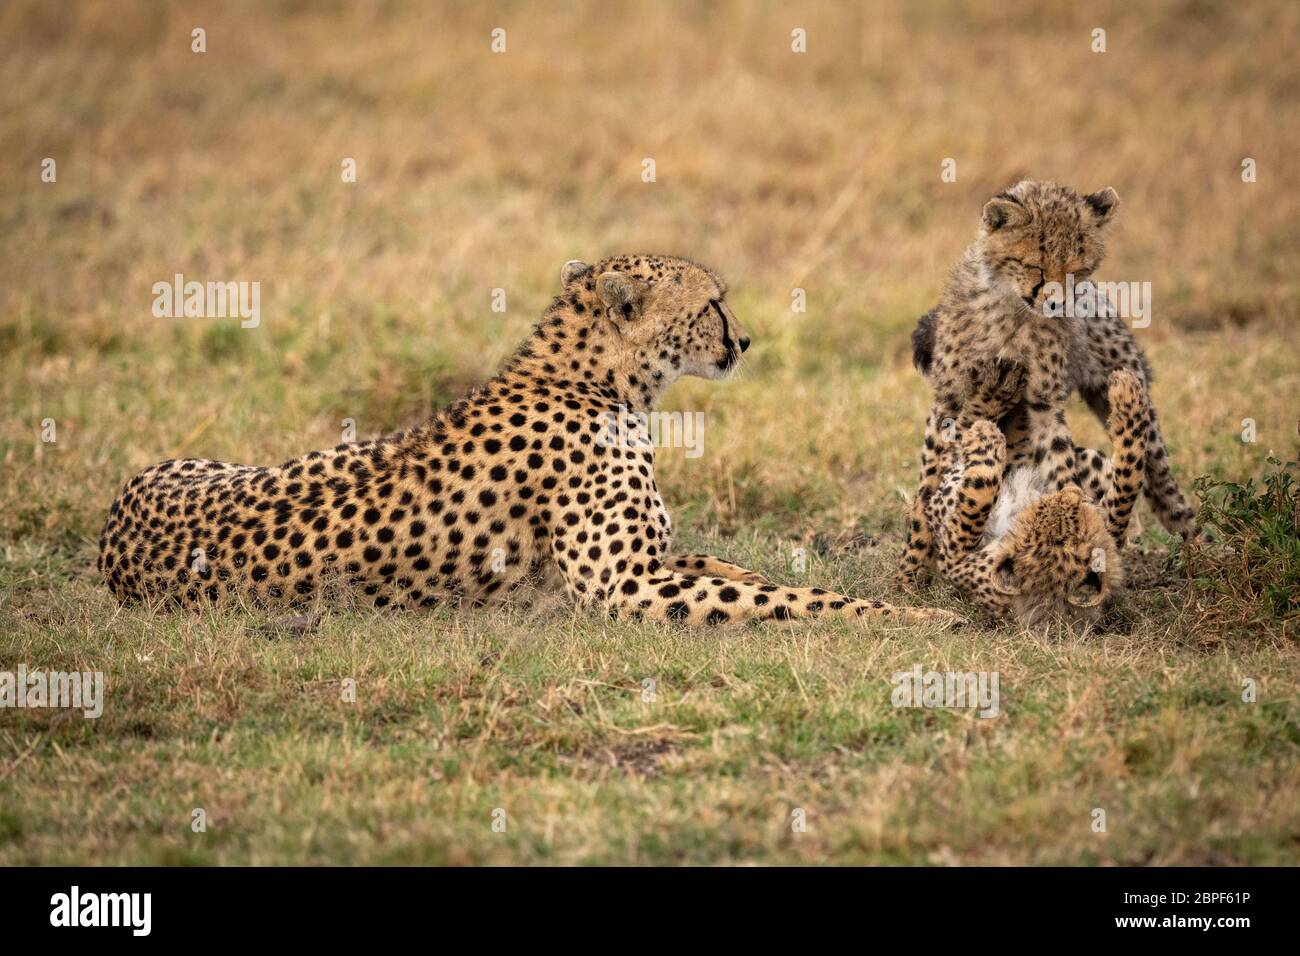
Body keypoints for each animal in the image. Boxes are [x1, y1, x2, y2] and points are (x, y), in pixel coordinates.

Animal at [99, 254, 962, 629]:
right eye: (712, 304)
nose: (745, 341)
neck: (597, 382)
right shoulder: (623, 585)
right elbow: (776, 599)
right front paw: (906, 619)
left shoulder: (655, 559)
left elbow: (732, 568)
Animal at [896, 178, 1199, 588]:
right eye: (1035, 265)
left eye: (1077, 271)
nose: (1058, 303)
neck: (1012, 309)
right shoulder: (948, 396)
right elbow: (930, 477)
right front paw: (912, 566)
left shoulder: (1044, 403)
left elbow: (1059, 460)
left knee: (1160, 480)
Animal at [903, 369, 1151, 628]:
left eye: (1060, 528)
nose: (1072, 494)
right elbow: (1128, 480)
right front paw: (1129, 396)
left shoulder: (955, 559)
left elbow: (974, 501)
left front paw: (985, 437)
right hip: (1089, 461)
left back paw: (997, 391)